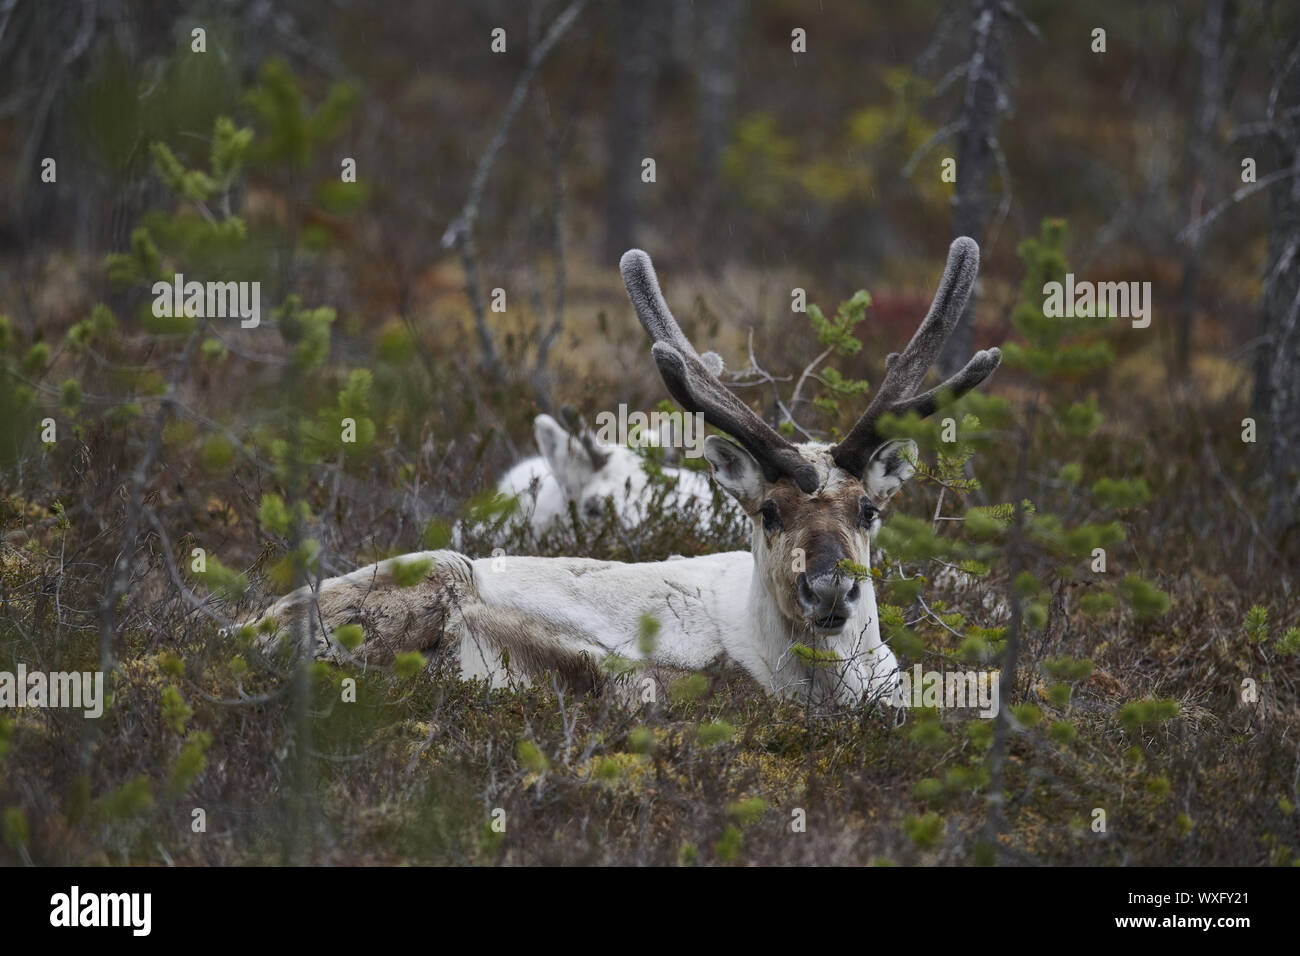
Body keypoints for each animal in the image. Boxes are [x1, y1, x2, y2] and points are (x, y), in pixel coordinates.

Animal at [243, 238, 1001, 709]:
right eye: (768, 511)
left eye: (869, 510)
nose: (828, 589)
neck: (840, 681)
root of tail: (238, 630)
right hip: (440, 571)